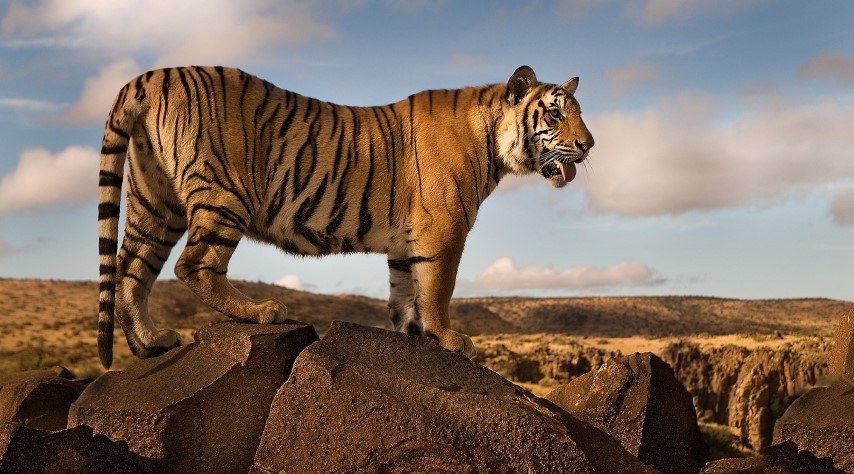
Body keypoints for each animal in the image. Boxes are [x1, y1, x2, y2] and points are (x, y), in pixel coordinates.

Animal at [97, 65, 594, 369]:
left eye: (579, 113)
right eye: (554, 114)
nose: (589, 144)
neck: (493, 142)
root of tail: (151, 76)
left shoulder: (405, 242)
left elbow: (405, 293)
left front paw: (414, 334)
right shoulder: (444, 229)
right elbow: (438, 289)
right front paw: (450, 339)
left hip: (154, 202)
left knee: (131, 270)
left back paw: (150, 344)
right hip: (224, 194)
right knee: (193, 265)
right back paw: (260, 312)